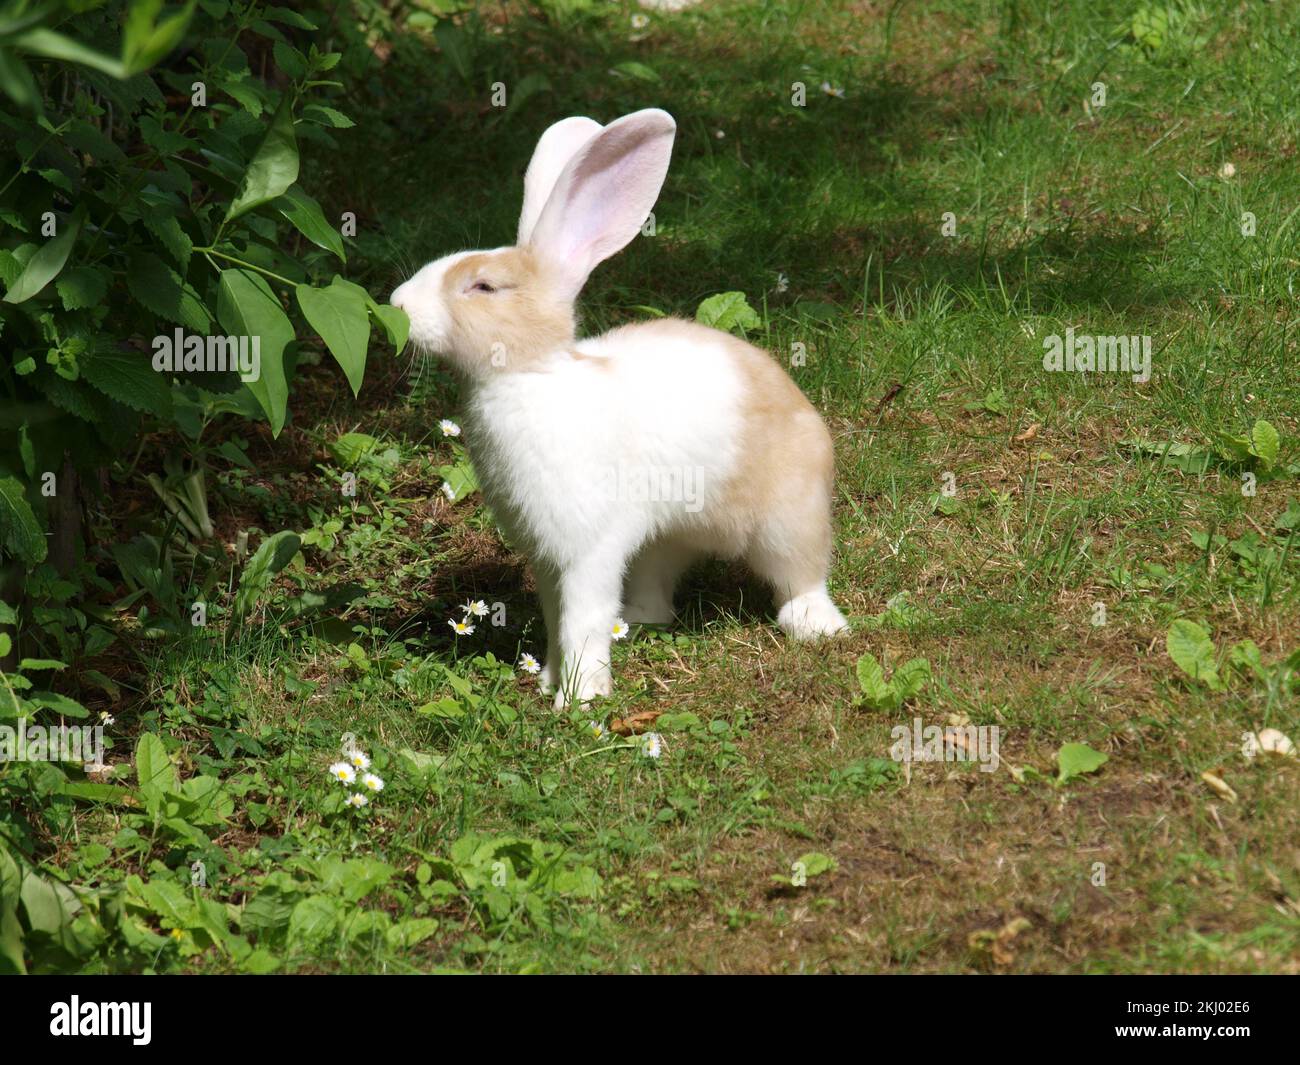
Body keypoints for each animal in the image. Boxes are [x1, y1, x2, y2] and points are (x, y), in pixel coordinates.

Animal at [391, 108, 849, 708]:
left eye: (484, 287)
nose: (397, 304)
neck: (532, 374)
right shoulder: (548, 559)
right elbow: (556, 618)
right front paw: (550, 681)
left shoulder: (587, 551)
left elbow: (582, 620)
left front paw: (578, 700)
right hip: (665, 534)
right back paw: (640, 619)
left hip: (786, 518)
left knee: (801, 570)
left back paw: (815, 624)